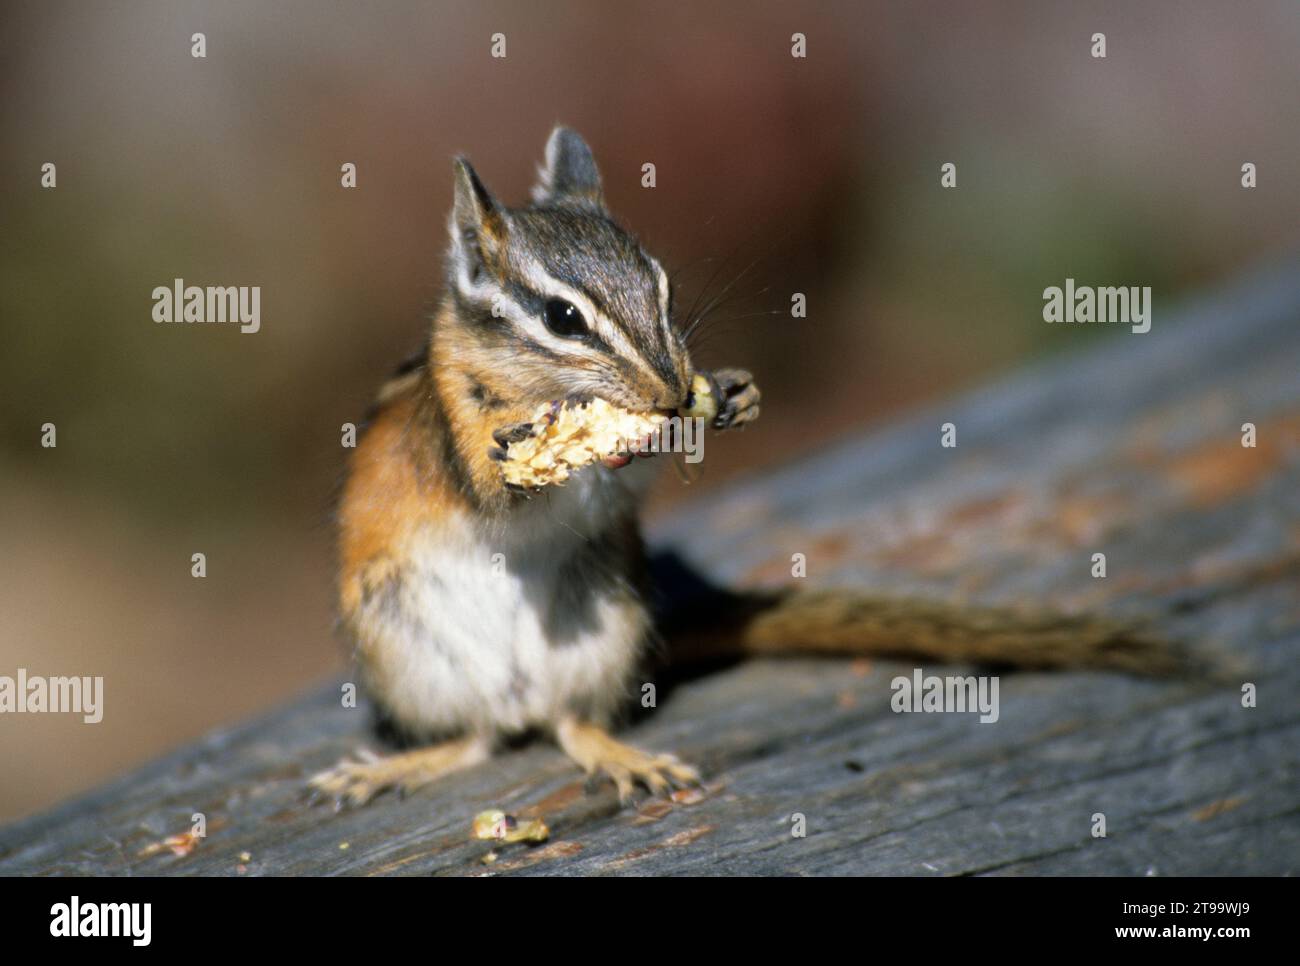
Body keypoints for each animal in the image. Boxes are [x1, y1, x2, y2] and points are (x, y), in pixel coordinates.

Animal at [308, 127, 1176, 808]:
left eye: (661, 283)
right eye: (561, 317)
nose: (670, 387)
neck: (541, 388)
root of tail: (519, 695)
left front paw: (725, 397)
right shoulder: (453, 431)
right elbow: (496, 491)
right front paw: (558, 445)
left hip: (605, 628)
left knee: (567, 726)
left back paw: (624, 757)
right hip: (409, 651)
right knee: (481, 740)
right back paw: (392, 768)